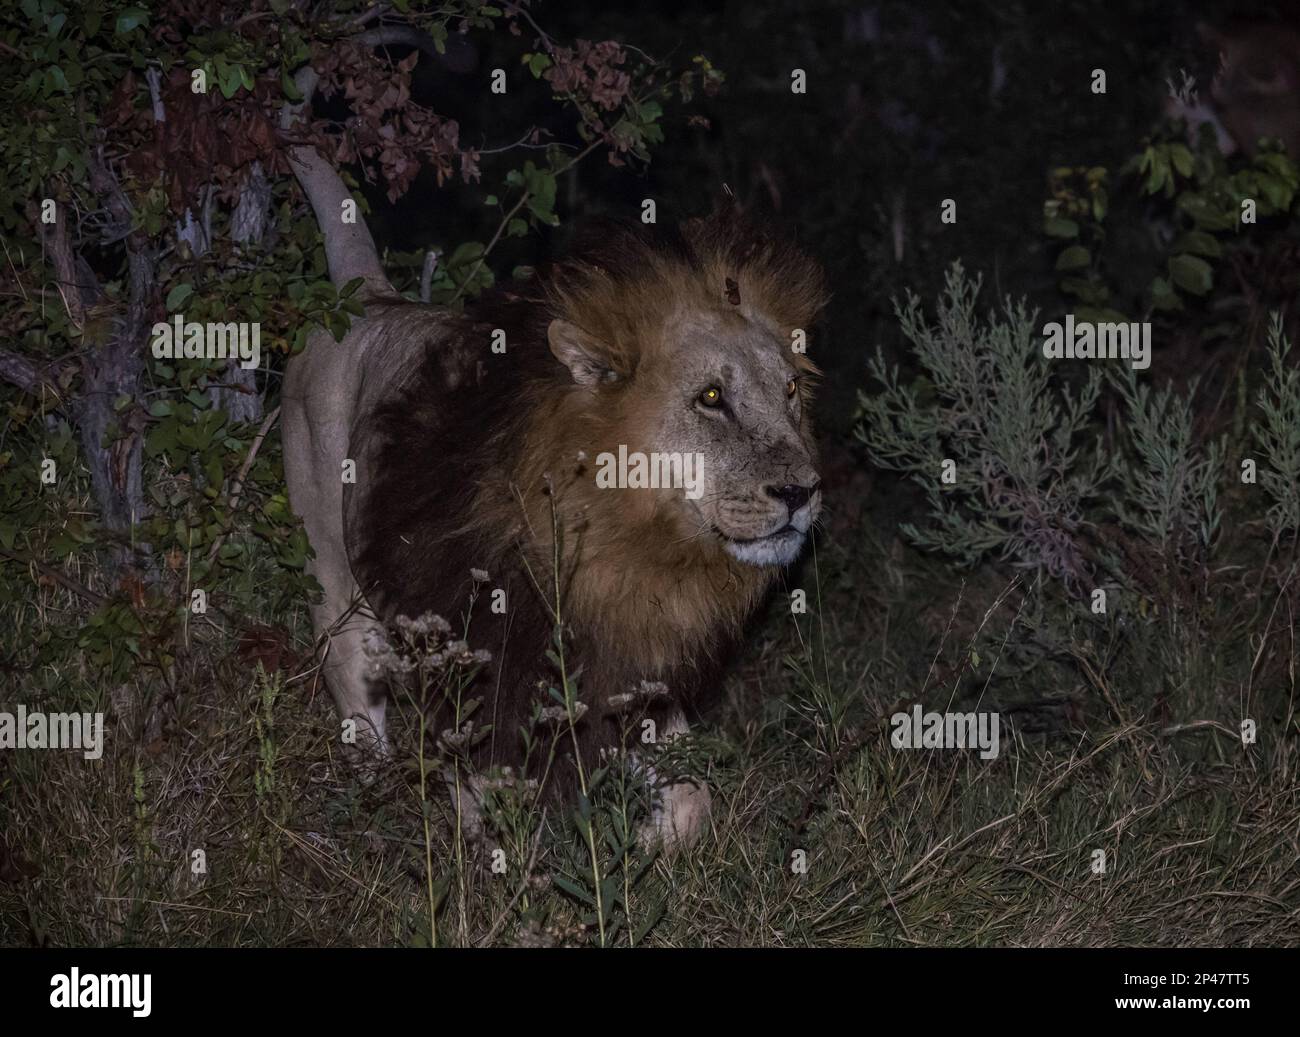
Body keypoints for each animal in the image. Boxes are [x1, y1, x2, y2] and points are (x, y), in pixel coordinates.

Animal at [282, 148, 826, 847]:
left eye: (789, 390)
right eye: (711, 398)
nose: (802, 492)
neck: (631, 538)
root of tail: (368, 298)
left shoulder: (628, 664)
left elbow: (690, 800)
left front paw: (644, 848)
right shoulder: (495, 651)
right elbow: (491, 791)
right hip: (334, 585)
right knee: (359, 709)